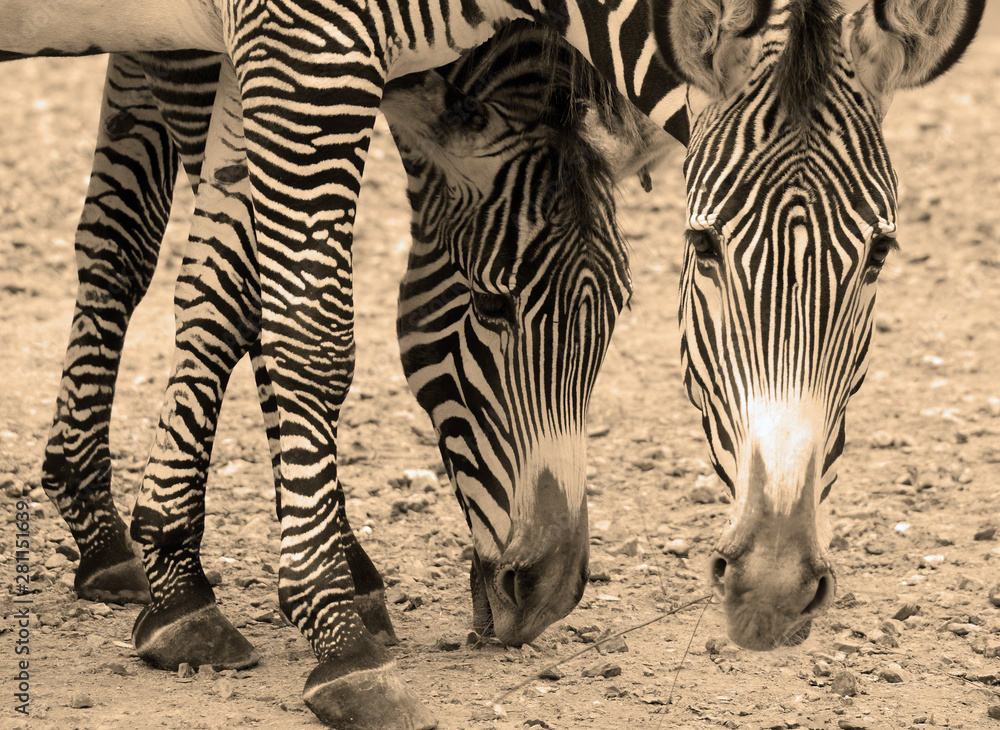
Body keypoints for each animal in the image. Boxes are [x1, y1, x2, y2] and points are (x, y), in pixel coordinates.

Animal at [1, 0, 985, 725]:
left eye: (881, 255)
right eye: (702, 247)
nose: (545, 595)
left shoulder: (248, 58)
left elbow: (219, 292)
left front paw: (174, 574)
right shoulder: (297, 49)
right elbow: (300, 321)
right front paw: (331, 629)